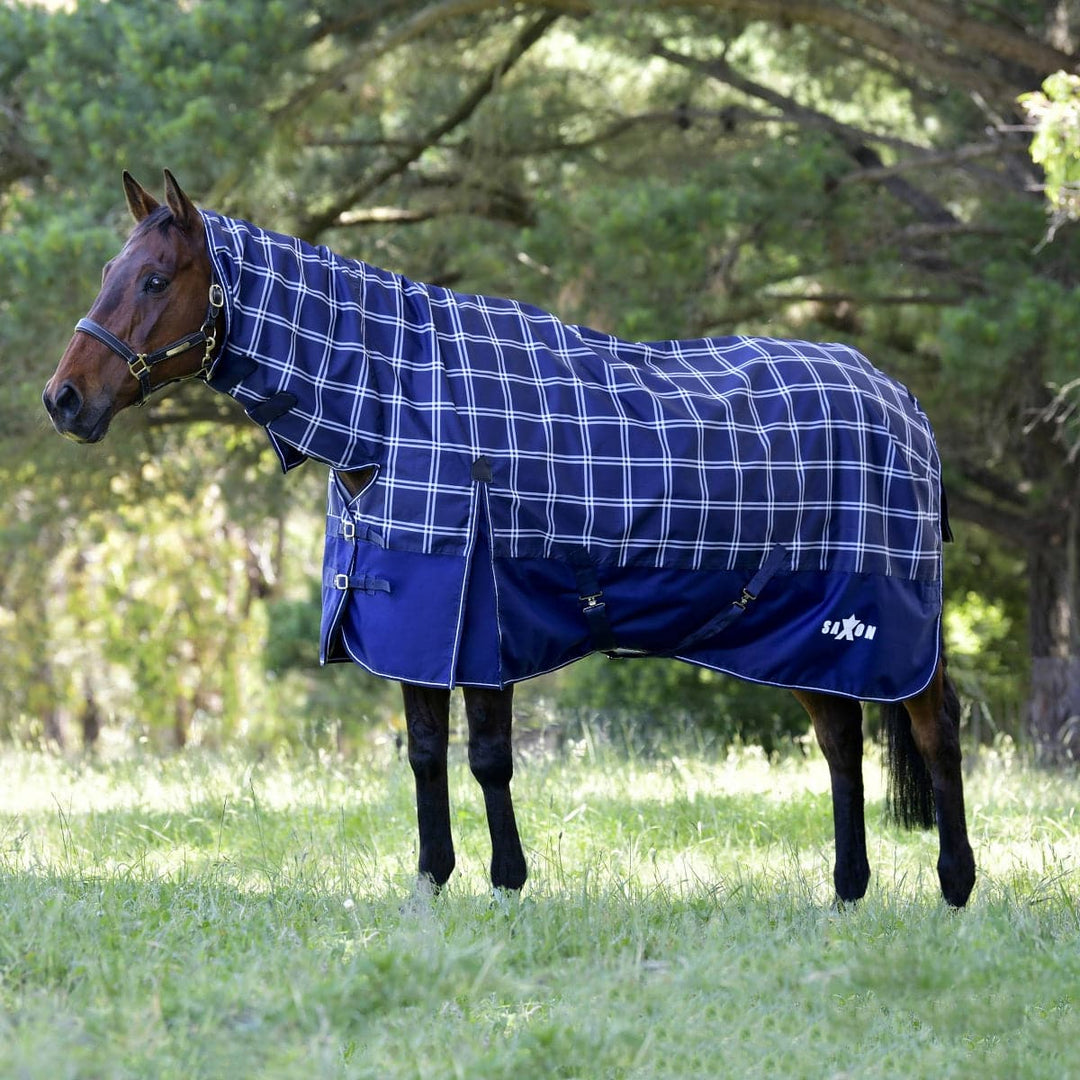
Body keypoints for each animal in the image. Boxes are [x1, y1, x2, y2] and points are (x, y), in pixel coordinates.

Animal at [43, 171, 976, 907]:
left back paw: (955, 887)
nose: (64, 400)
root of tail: (905, 403)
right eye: (109, 273)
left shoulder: (482, 620)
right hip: (809, 634)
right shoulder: (411, 625)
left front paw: (507, 883)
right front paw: (430, 880)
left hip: (886, 625)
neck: (396, 407)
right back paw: (847, 892)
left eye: (155, 278)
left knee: (934, 728)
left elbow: (490, 759)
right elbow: (424, 756)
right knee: (842, 744)